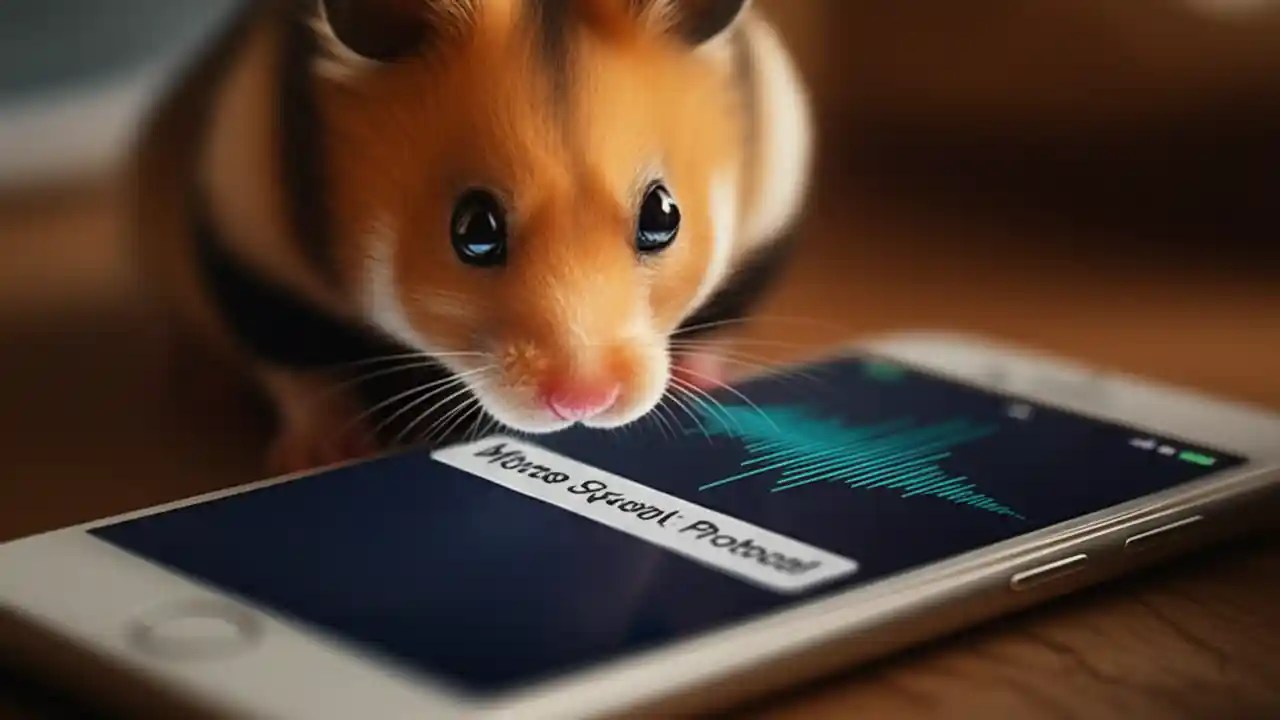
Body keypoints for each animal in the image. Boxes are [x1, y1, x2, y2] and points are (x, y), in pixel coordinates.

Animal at [130, 0, 814, 475]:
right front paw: (327, 453)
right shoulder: (251, 256)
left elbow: (719, 325)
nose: (583, 403)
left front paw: (703, 389)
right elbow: (299, 367)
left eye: (662, 214)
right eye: (474, 231)